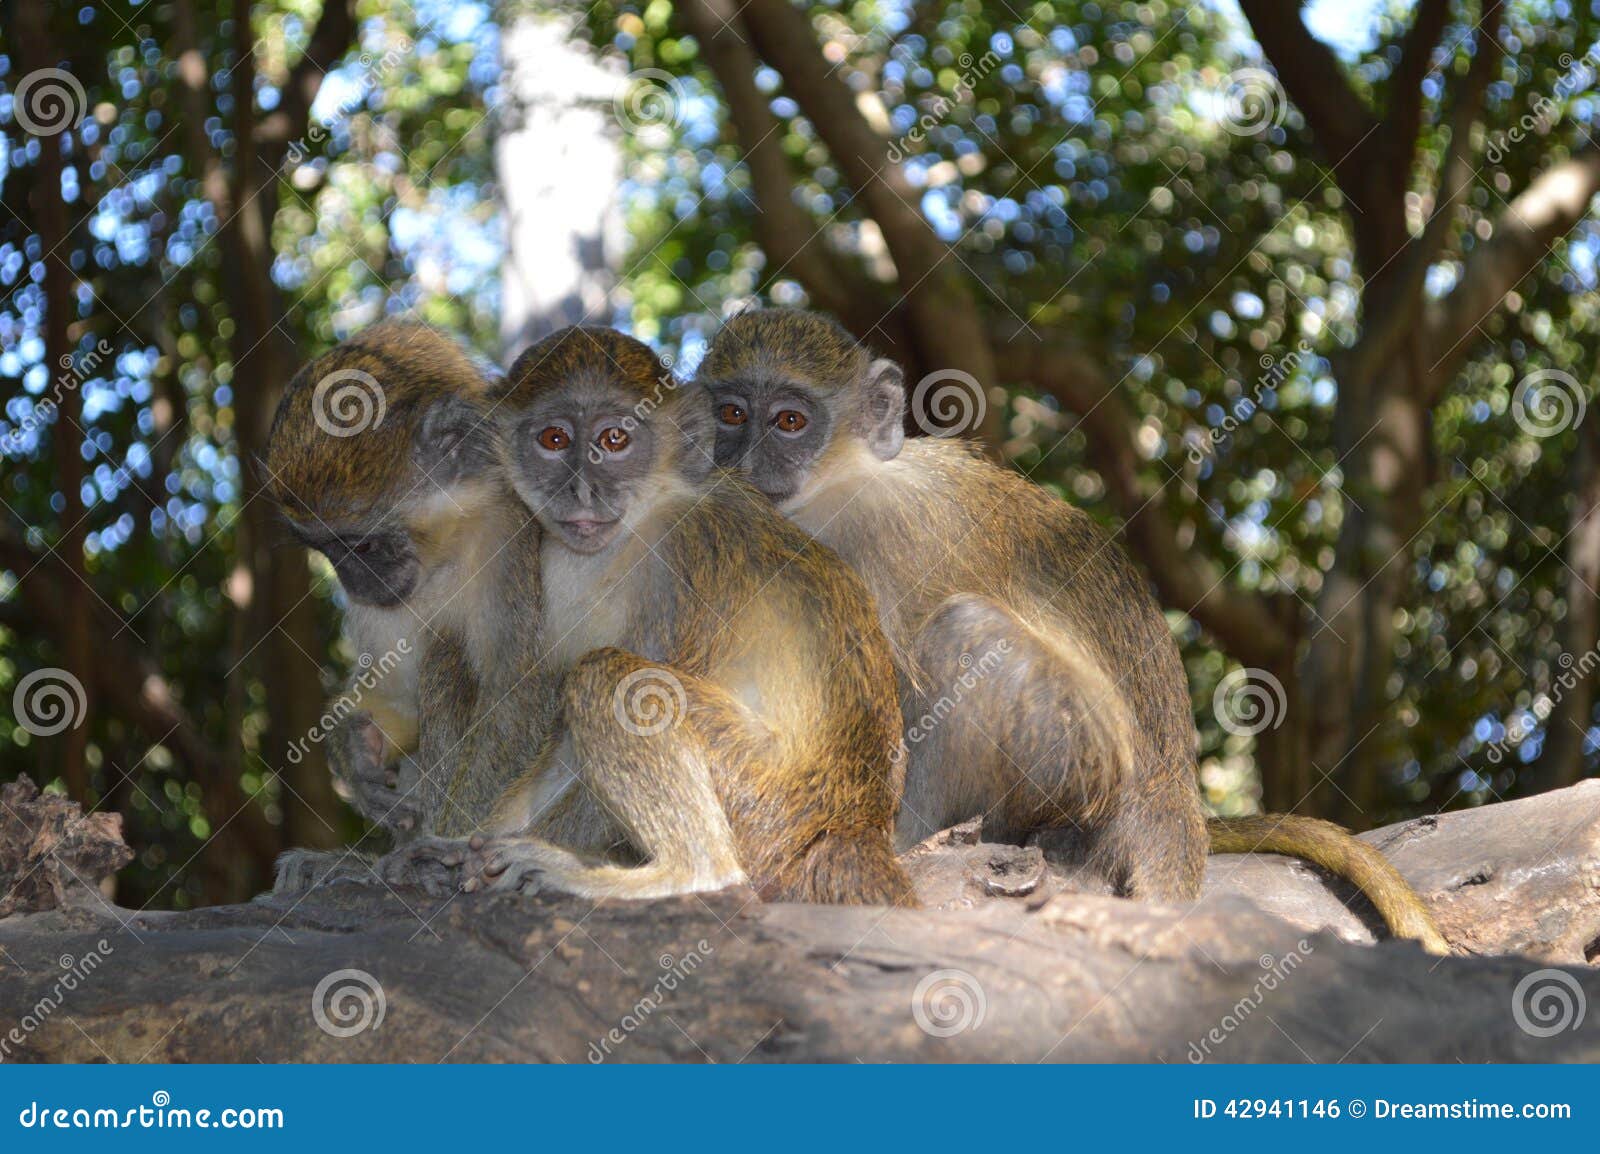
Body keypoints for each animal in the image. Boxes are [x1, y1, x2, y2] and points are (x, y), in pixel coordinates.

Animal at [263, 322, 620, 892]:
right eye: (325, 550)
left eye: (362, 545)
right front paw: (354, 750)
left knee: (449, 650)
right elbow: (397, 693)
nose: (354, 581)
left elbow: (520, 692)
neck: (451, 542)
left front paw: (445, 847)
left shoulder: (511, 536)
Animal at [460, 325, 915, 906]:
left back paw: (685, 872)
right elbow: (561, 745)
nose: (581, 490)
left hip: (763, 802)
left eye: (615, 440)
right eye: (554, 439)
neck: (643, 515)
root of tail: (855, 824)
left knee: (611, 676)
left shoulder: (680, 558)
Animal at [695, 308, 1447, 953]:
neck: (838, 482)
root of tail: (1171, 798)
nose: (745, 463)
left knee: (965, 634)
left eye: (790, 421)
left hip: (1085, 766)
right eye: (731, 415)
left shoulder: (871, 543)